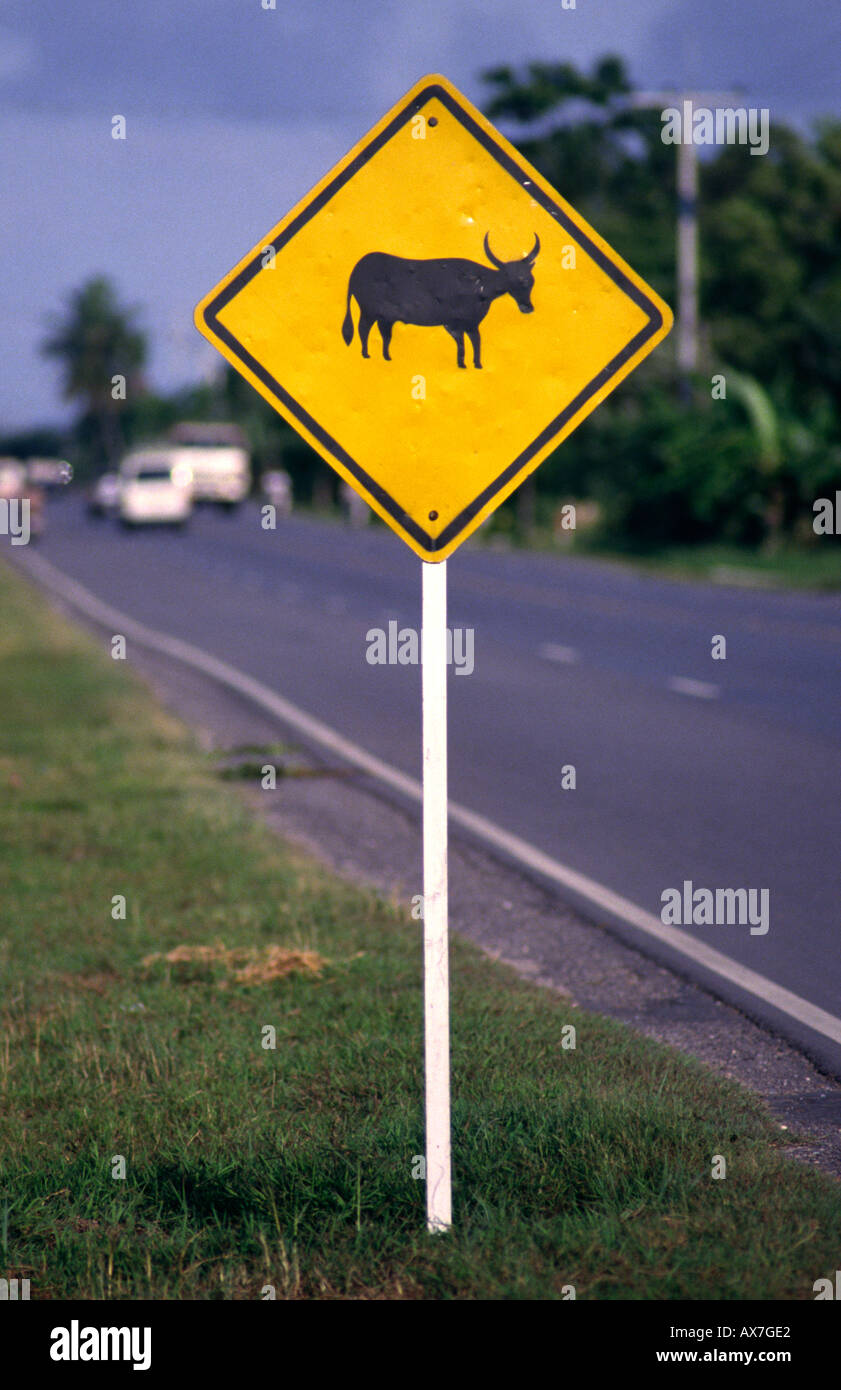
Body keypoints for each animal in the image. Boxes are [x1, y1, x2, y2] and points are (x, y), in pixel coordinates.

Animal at [341, 232, 540, 369]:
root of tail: (355, 271)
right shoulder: (462, 323)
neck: (479, 285)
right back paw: (366, 354)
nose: (527, 307)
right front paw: (473, 364)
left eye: (529, 280)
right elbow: (473, 341)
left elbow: (467, 342)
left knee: (383, 333)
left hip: (384, 317)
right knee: (363, 328)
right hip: (368, 310)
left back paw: (386, 356)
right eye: (513, 279)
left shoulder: (460, 324)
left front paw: (467, 364)